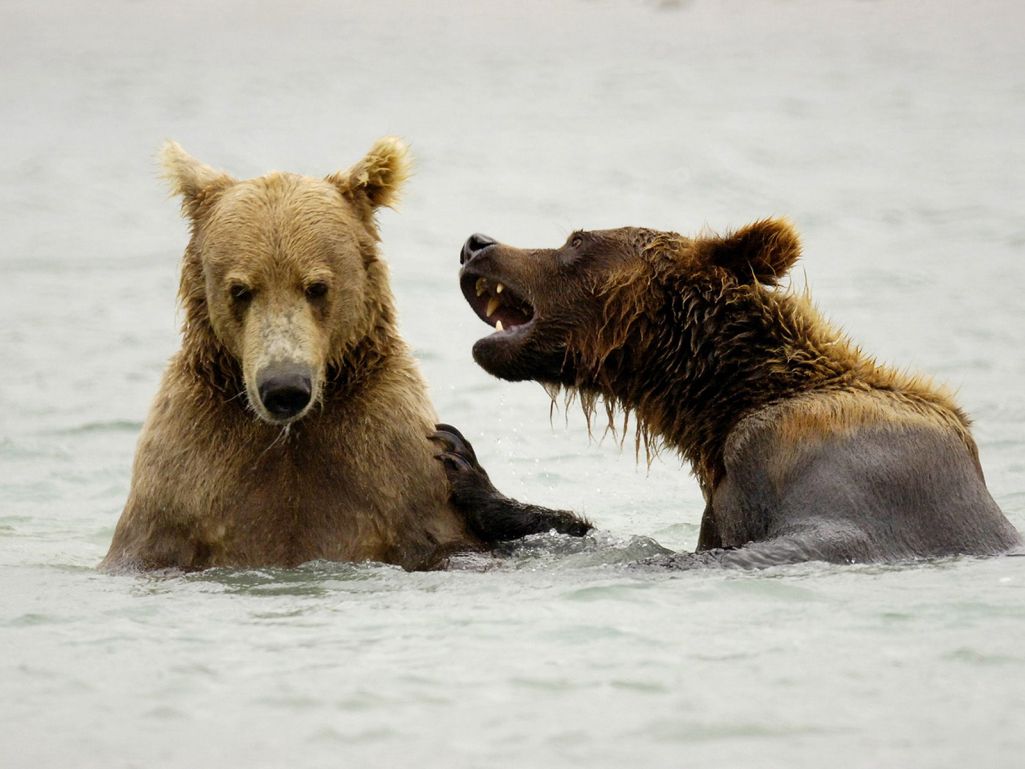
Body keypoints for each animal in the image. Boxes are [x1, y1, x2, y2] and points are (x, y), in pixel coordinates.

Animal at [104, 138, 528, 574]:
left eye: (316, 286)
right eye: (240, 289)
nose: (284, 387)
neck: (291, 433)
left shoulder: (395, 463)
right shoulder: (185, 478)